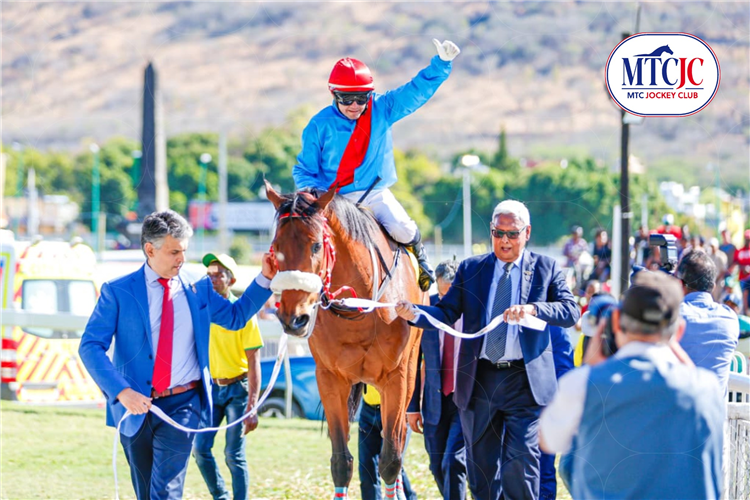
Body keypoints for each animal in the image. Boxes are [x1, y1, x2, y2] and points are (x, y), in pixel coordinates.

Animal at [264, 181, 426, 499]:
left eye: (316, 245)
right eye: (276, 248)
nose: (293, 318)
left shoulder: (396, 377)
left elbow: (391, 458)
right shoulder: (330, 378)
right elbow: (341, 461)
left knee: (398, 440)